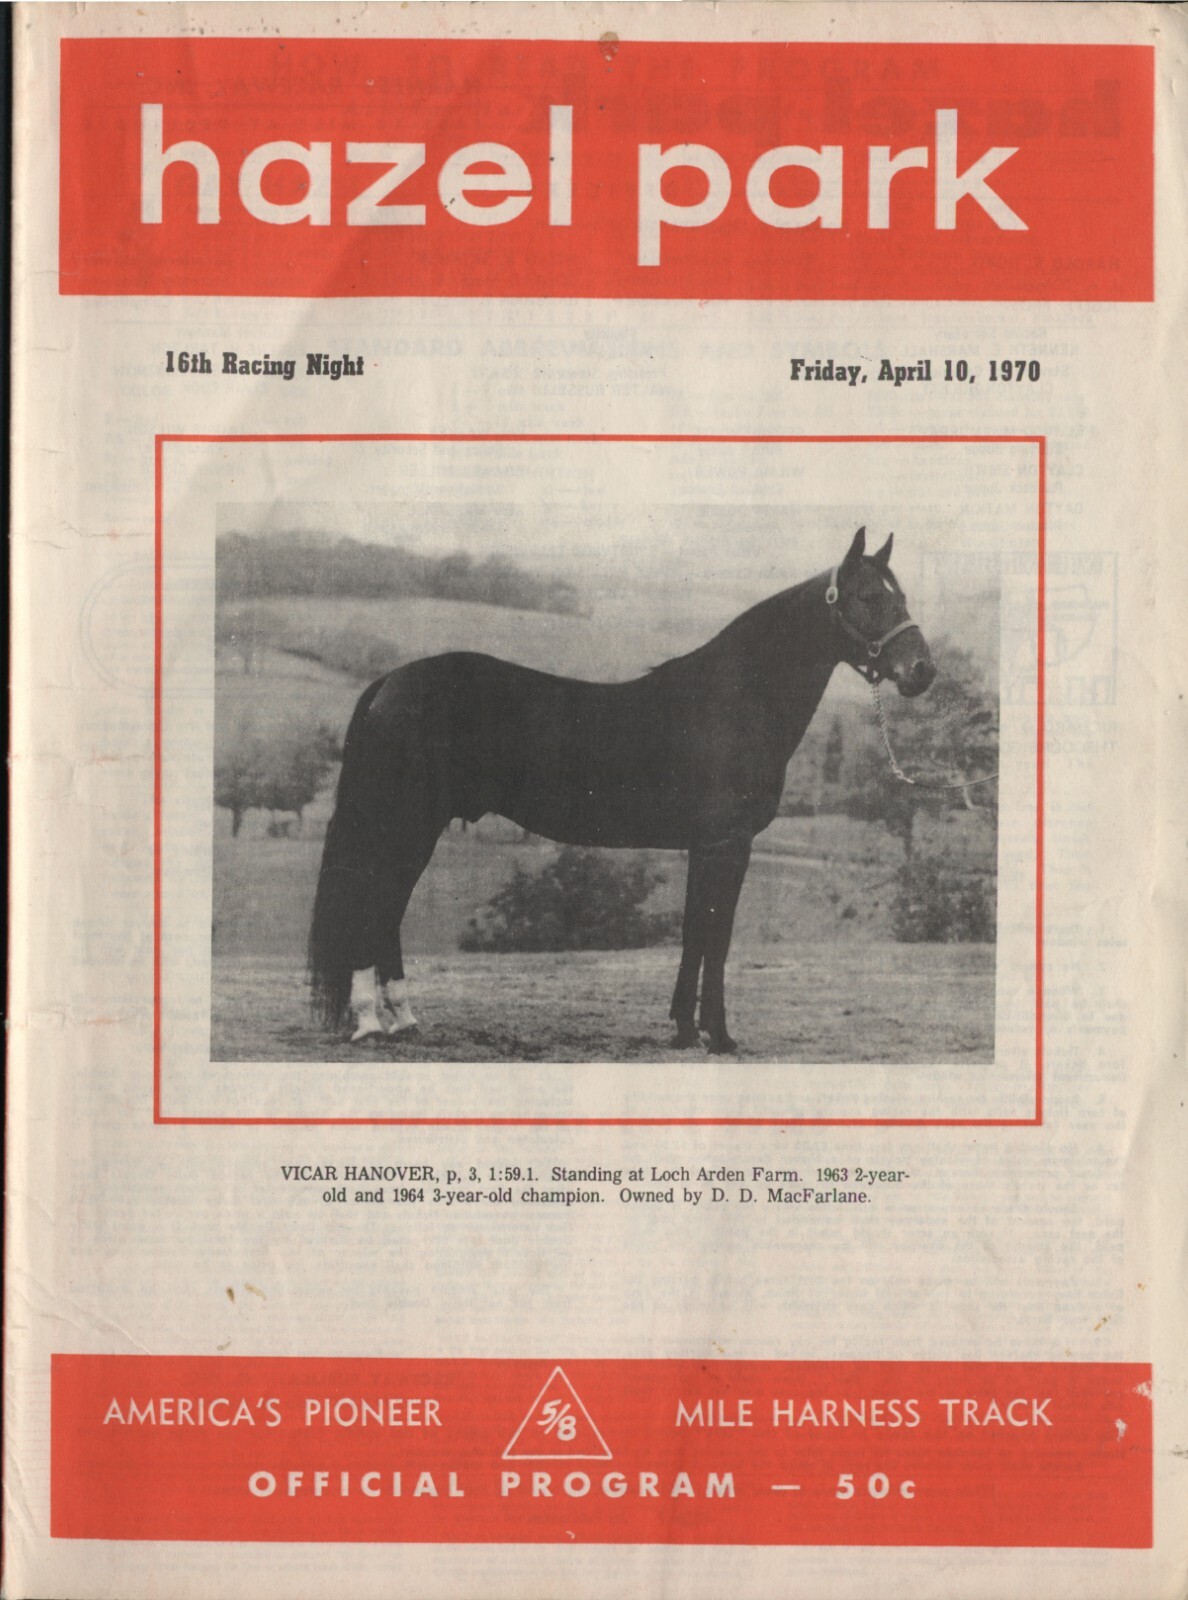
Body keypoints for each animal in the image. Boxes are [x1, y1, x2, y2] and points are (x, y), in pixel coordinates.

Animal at [309, 527, 935, 1053]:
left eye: (899, 594)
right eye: (866, 597)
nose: (923, 672)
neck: (730, 703)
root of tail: (390, 681)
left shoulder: (704, 847)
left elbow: (693, 934)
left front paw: (684, 1030)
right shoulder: (728, 845)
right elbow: (716, 938)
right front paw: (719, 1036)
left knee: (386, 910)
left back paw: (404, 1019)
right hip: (404, 823)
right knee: (370, 904)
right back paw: (369, 1022)